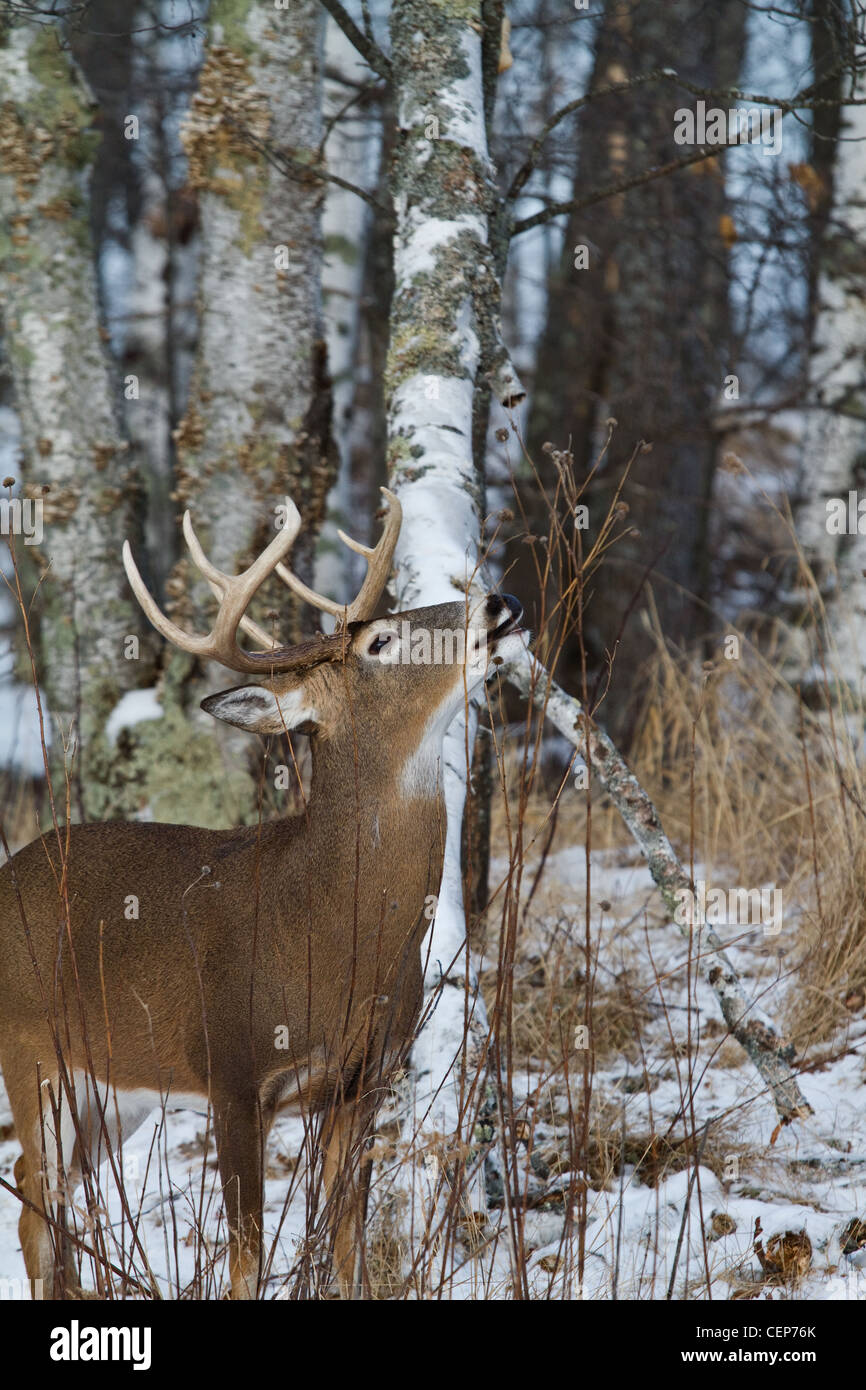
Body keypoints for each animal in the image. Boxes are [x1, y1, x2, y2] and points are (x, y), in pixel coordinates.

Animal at [0, 488, 525, 1300]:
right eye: (380, 643)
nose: (500, 601)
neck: (335, 935)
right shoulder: (234, 1071)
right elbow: (246, 1259)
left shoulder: (363, 1082)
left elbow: (347, 1246)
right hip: (31, 1054)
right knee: (38, 1196)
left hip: (112, 1092)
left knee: (33, 1189)